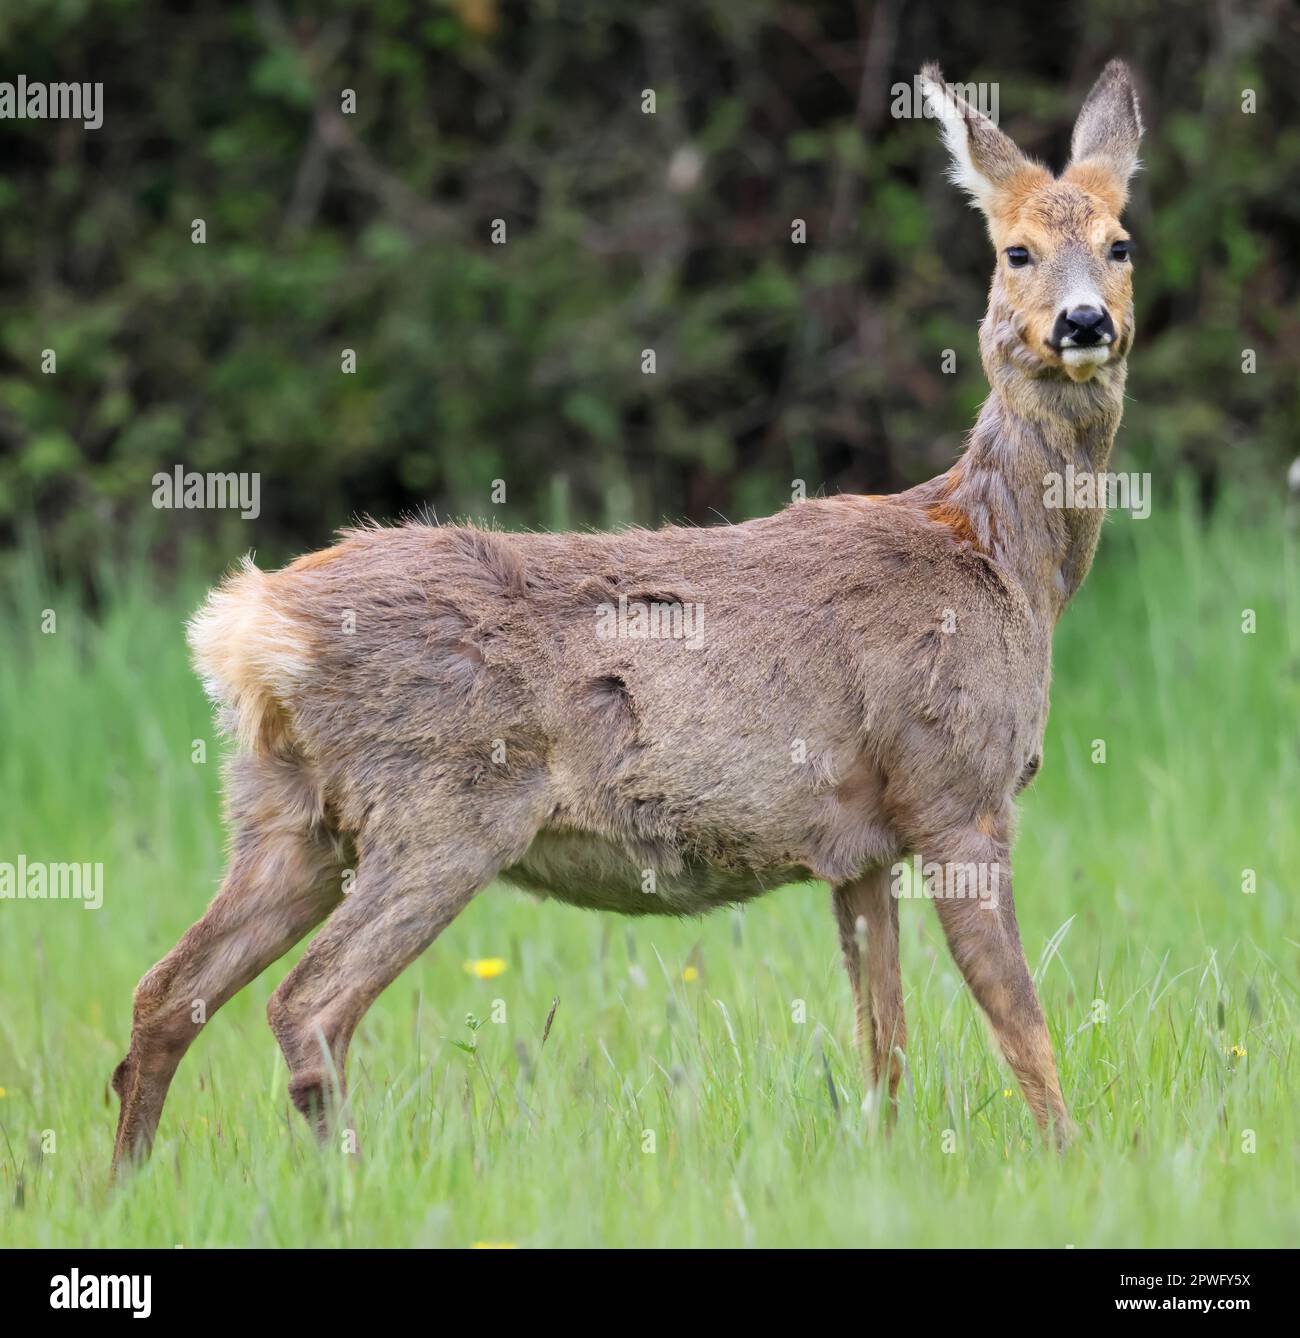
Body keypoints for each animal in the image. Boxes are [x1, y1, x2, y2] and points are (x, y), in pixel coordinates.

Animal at [111, 61, 1143, 1173]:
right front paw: (1071, 1161)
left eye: (1121, 242)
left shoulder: (861, 846)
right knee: (309, 1006)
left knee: (165, 994)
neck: (999, 558)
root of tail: (251, 630)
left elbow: (885, 1045)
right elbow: (1019, 1017)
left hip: (285, 815)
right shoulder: (957, 790)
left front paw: (883, 1161)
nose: (1085, 323)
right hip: (442, 808)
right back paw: (344, 1180)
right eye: (1015, 250)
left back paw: (124, 1186)